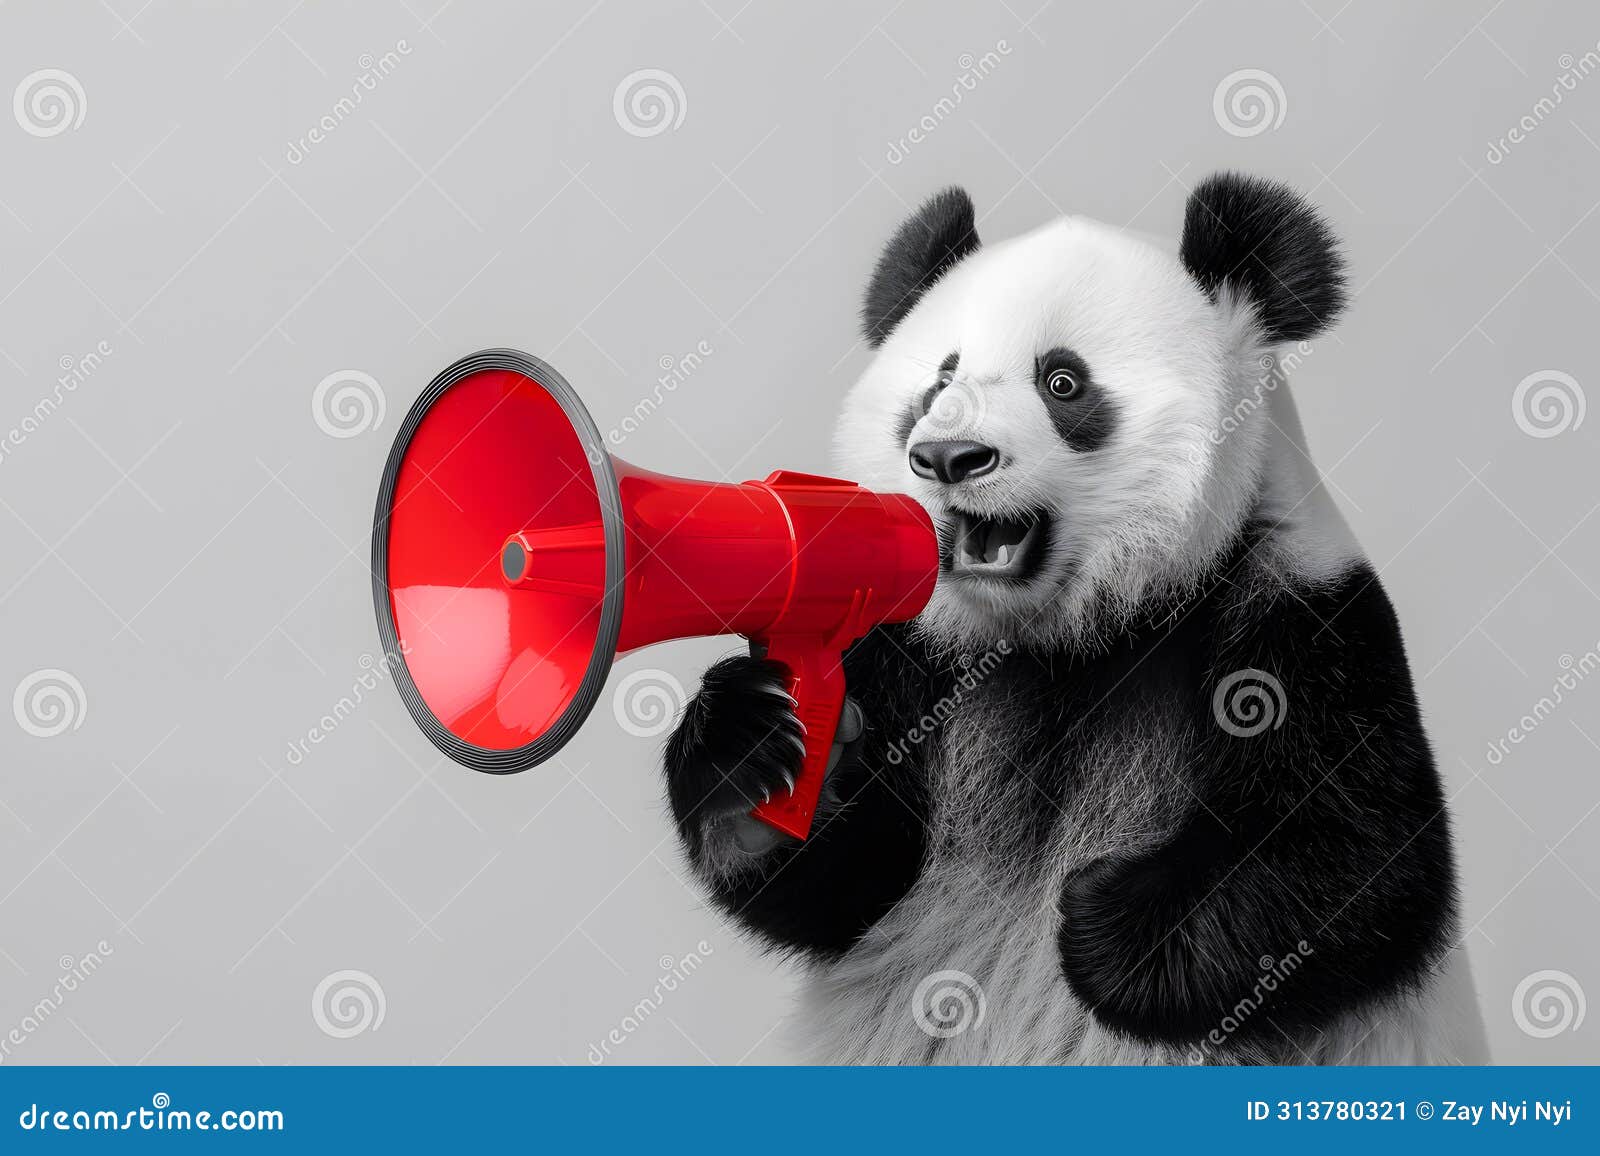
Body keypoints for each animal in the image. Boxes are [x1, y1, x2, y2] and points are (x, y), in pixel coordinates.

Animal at [661, 172, 1490, 1064]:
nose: (948, 457)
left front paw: (1099, 914)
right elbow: (845, 882)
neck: (1062, 638)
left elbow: (1359, 862)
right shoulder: (908, 645)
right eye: (939, 382)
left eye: (1063, 382)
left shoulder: (1301, 613)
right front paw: (751, 754)